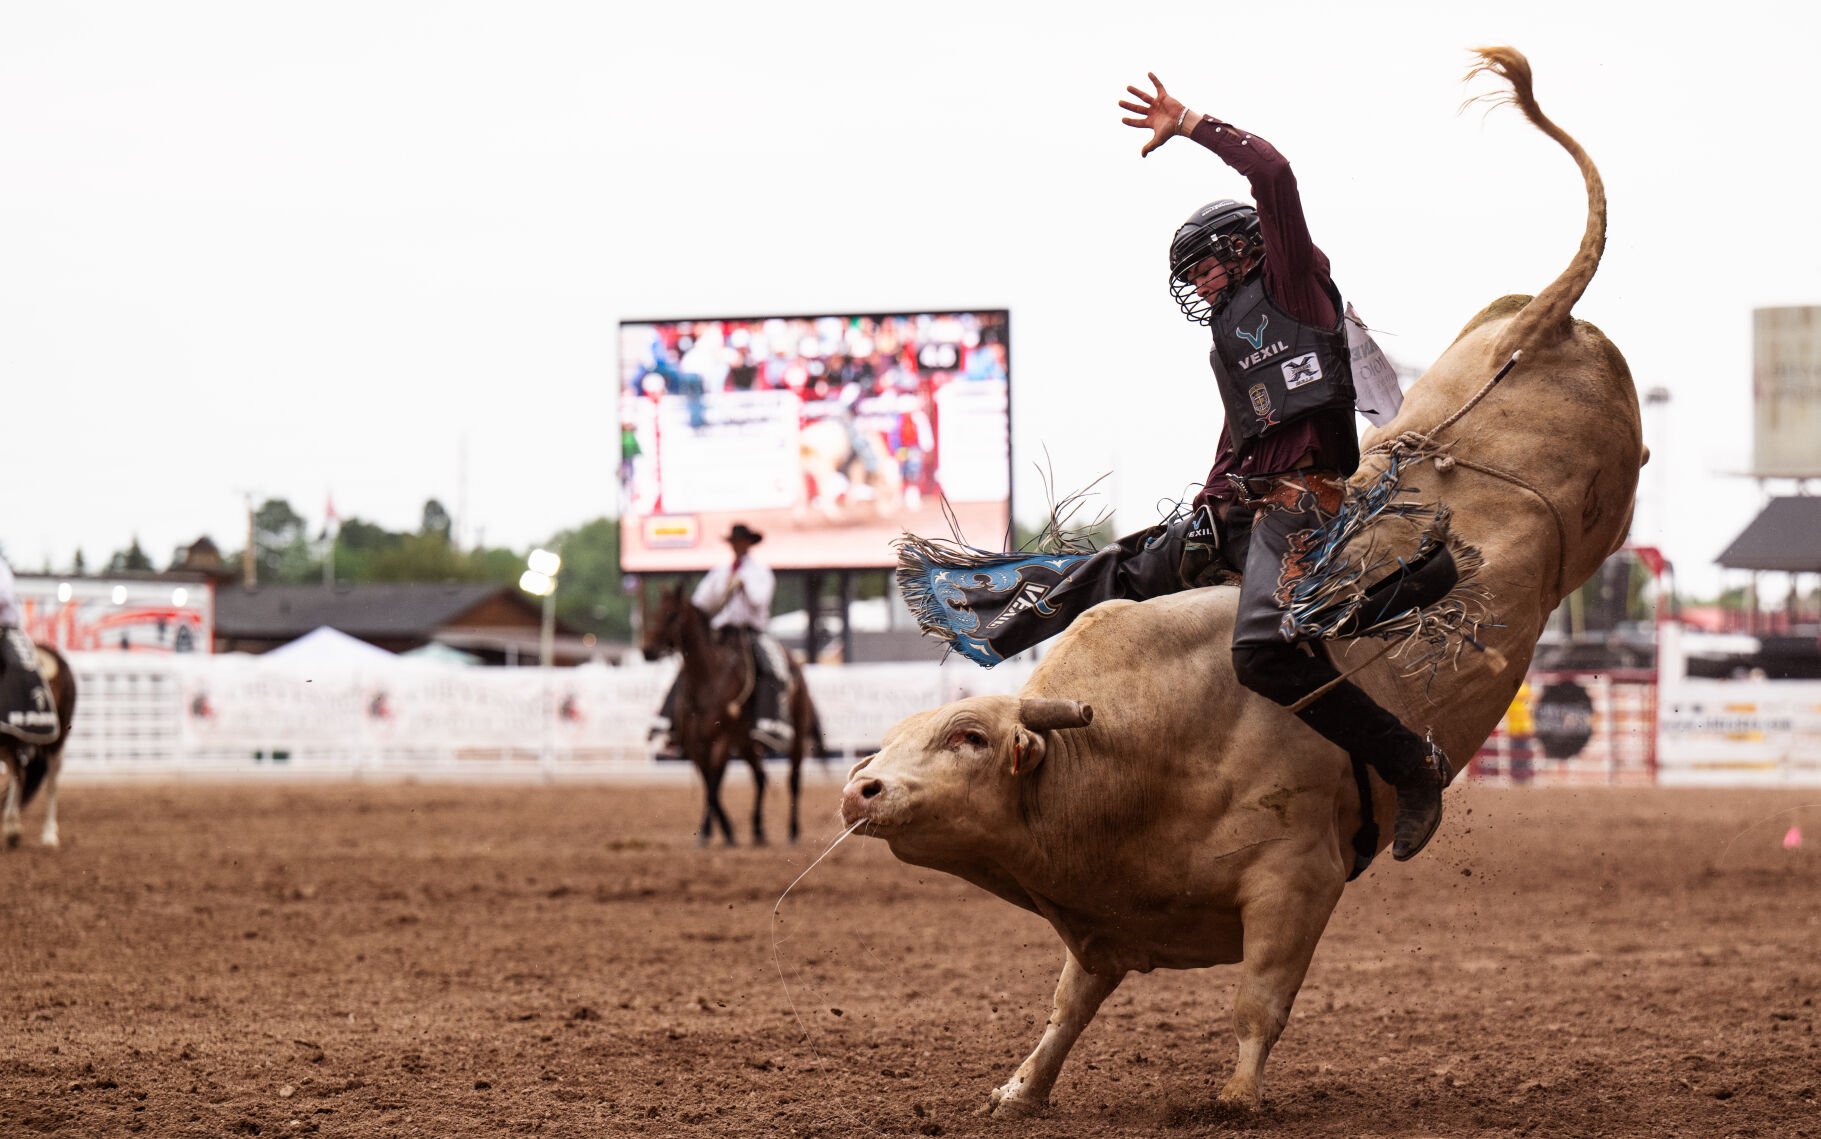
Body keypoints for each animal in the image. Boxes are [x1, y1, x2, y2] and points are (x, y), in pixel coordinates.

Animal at [841, 46, 1644, 1116]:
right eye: (893, 736)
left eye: (969, 737)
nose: (862, 788)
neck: (1129, 750)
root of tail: (1544, 327)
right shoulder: (1106, 930)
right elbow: (1067, 1005)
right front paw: (1020, 1088)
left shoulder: (1294, 880)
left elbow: (1258, 1001)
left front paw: (1232, 1095)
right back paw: (988, 608)